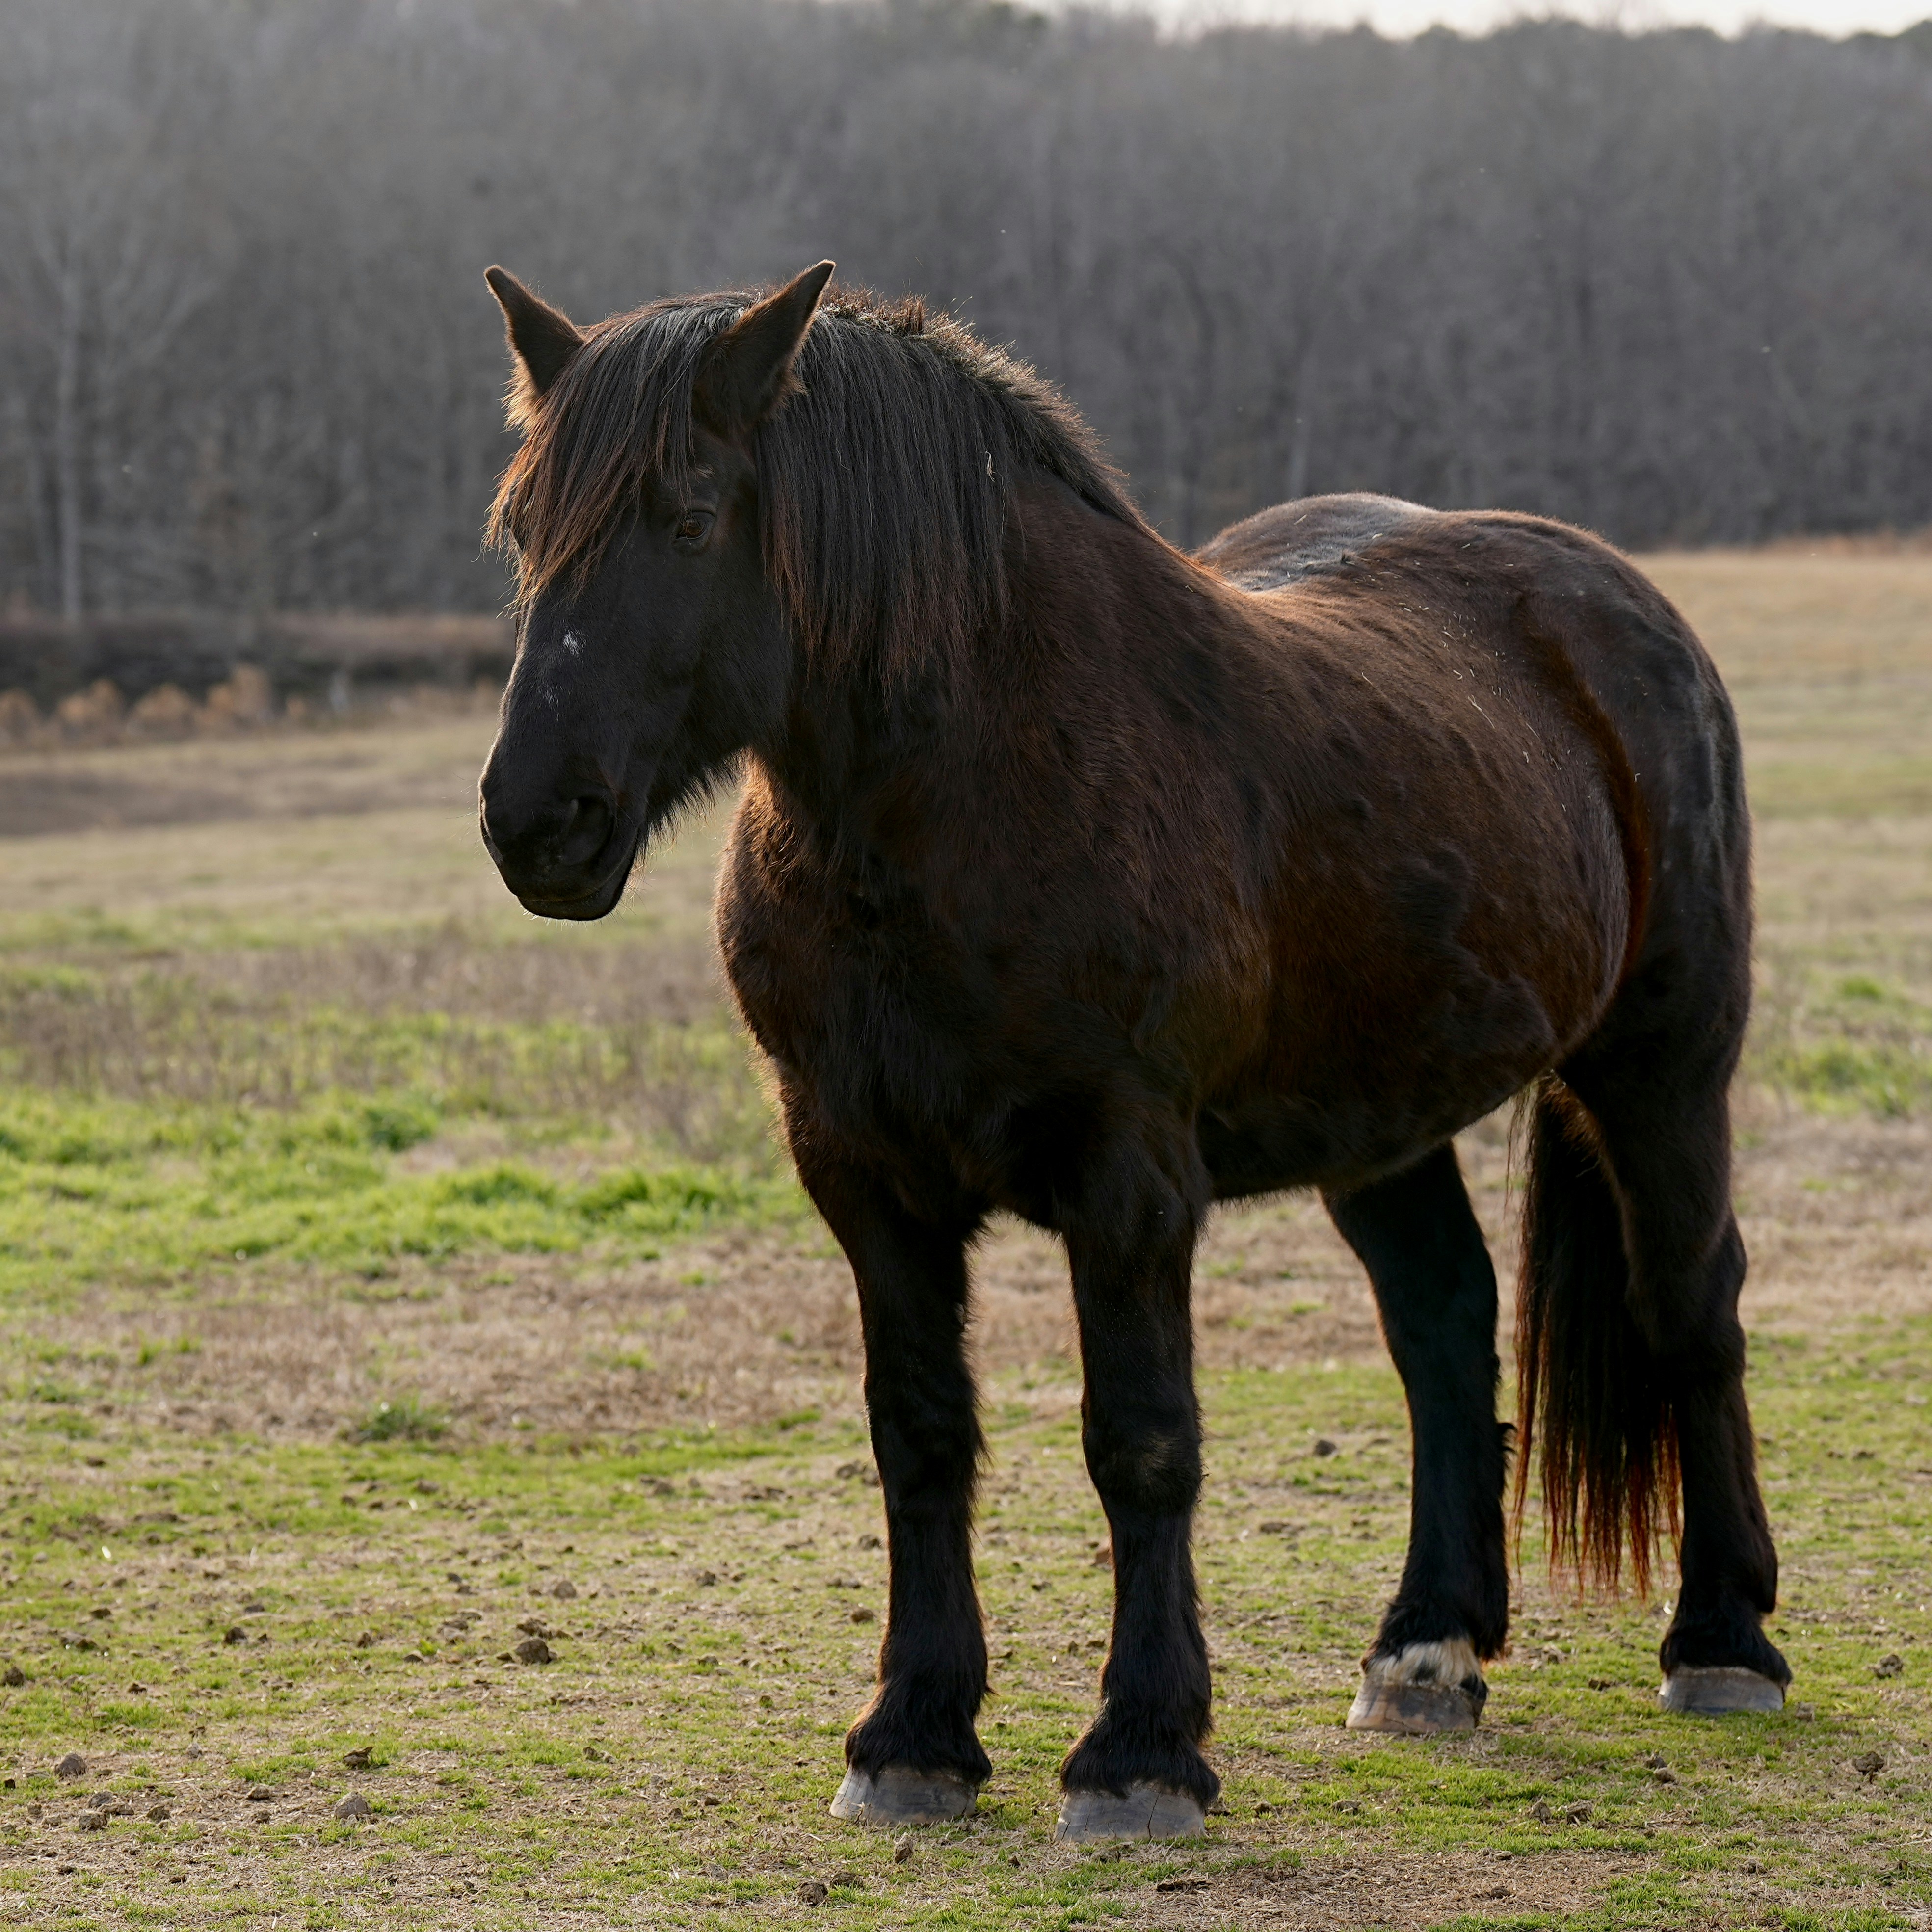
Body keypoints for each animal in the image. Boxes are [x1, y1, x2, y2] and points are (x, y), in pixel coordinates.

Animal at [475, 260, 1789, 1840]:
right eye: (524, 527)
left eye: (686, 513)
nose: (536, 822)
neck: (967, 787)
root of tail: (1612, 601)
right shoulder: (859, 1173)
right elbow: (920, 1435)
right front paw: (912, 1736)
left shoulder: (1130, 1173)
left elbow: (1141, 1441)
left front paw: (1139, 1752)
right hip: (1385, 1117)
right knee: (1442, 1323)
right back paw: (1424, 1652)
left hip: (1660, 1063)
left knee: (1689, 1305)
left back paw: (1722, 1641)